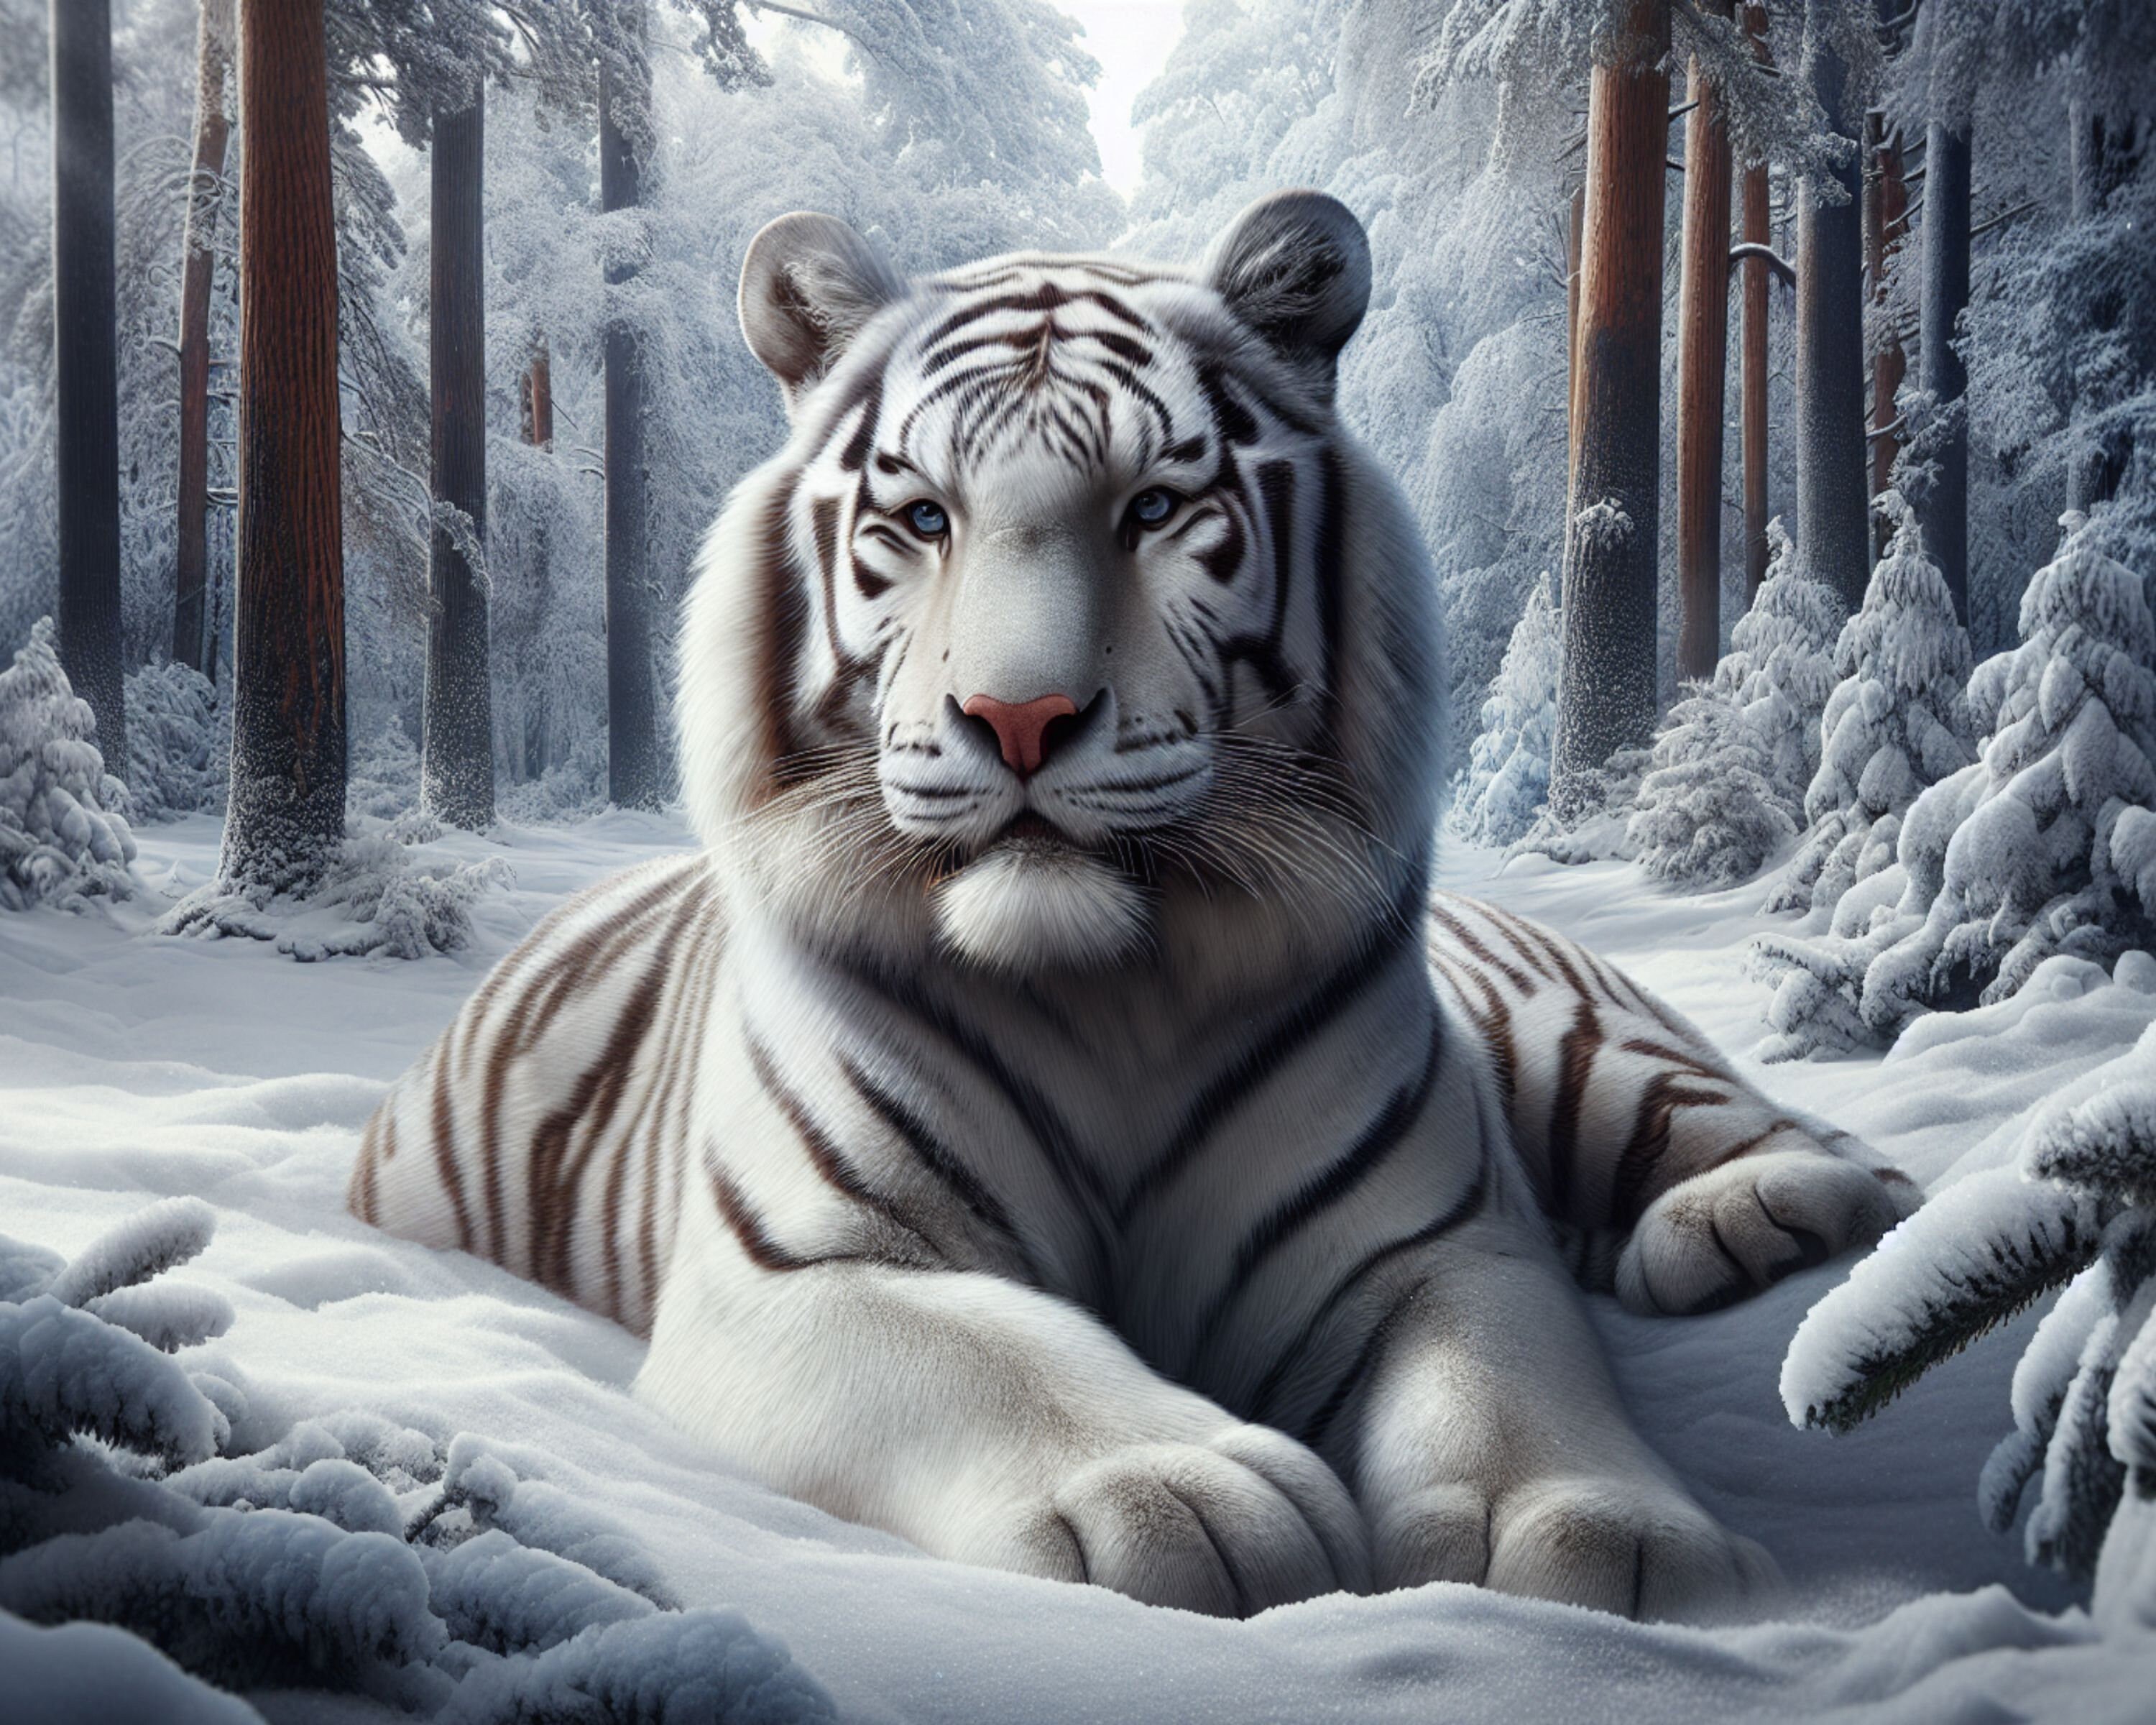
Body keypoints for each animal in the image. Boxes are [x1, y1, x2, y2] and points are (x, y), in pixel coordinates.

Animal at [350, 192, 1915, 1622]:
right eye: (923, 520)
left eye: (1156, 508)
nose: (1019, 717)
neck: (1106, 987)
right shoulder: (799, 1268)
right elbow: (988, 1353)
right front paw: (1176, 1488)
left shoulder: (1437, 1242)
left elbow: (1507, 1375)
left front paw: (1603, 1537)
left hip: (1566, 1039)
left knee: (1800, 1141)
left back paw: (1757, 1223)